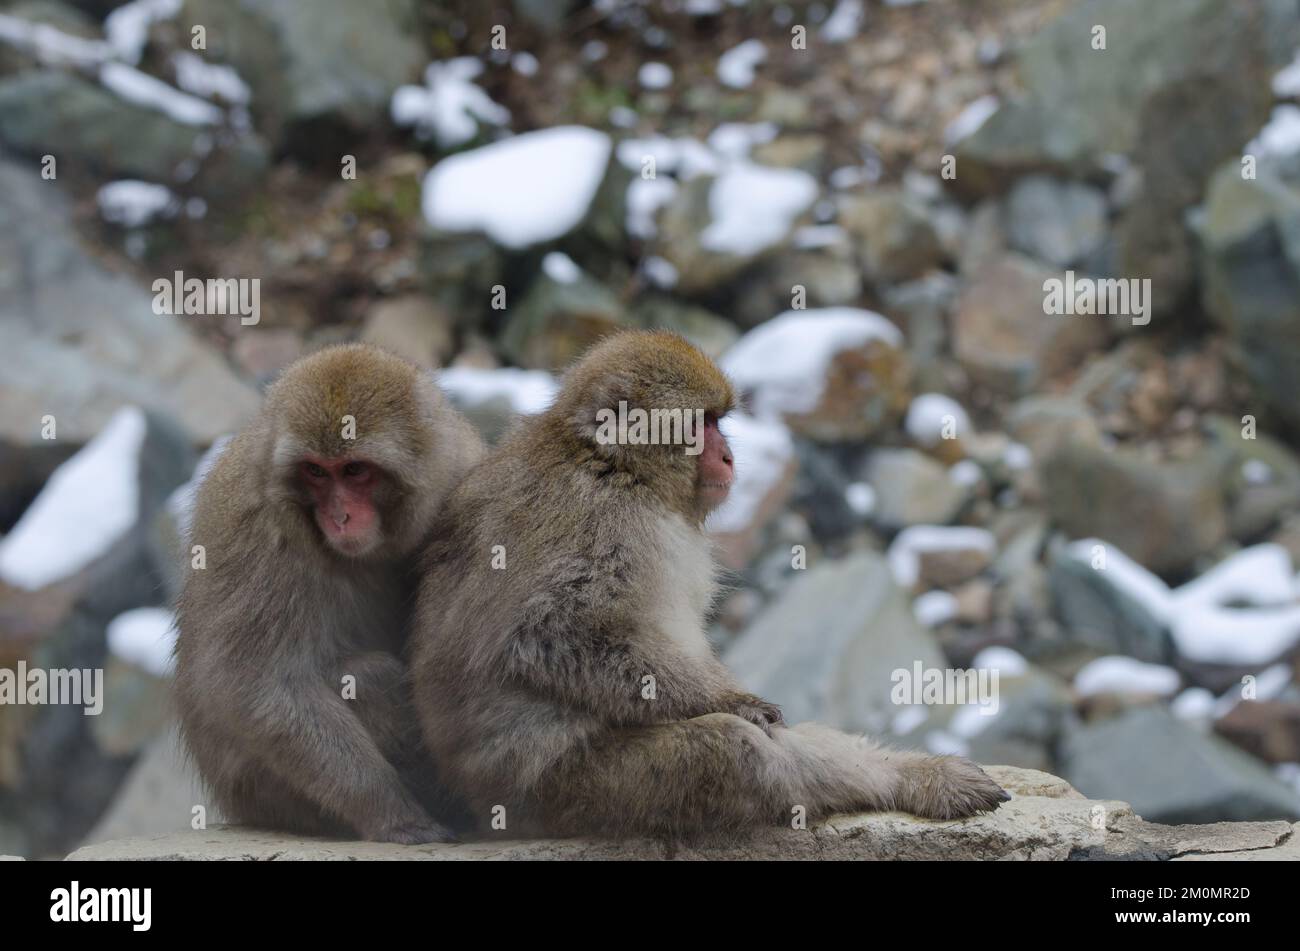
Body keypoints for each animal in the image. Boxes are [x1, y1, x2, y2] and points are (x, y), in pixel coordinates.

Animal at [174, 344, 484, 843]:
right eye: (316, 472)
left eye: (355, 470)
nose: (339, 517)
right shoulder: (265, 531)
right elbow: (260, 685)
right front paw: (392, 811)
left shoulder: (458, 472)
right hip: (269, 794)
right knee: (370, 678)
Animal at [410, 330, 1009, 839]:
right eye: (701, 424)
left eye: (721, 421)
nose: (728, 455)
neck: (621, 469)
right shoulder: (605, 521)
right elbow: (548, 632)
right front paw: (733, 700)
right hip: (568, 794)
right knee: (735, 752)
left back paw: (913, 777)